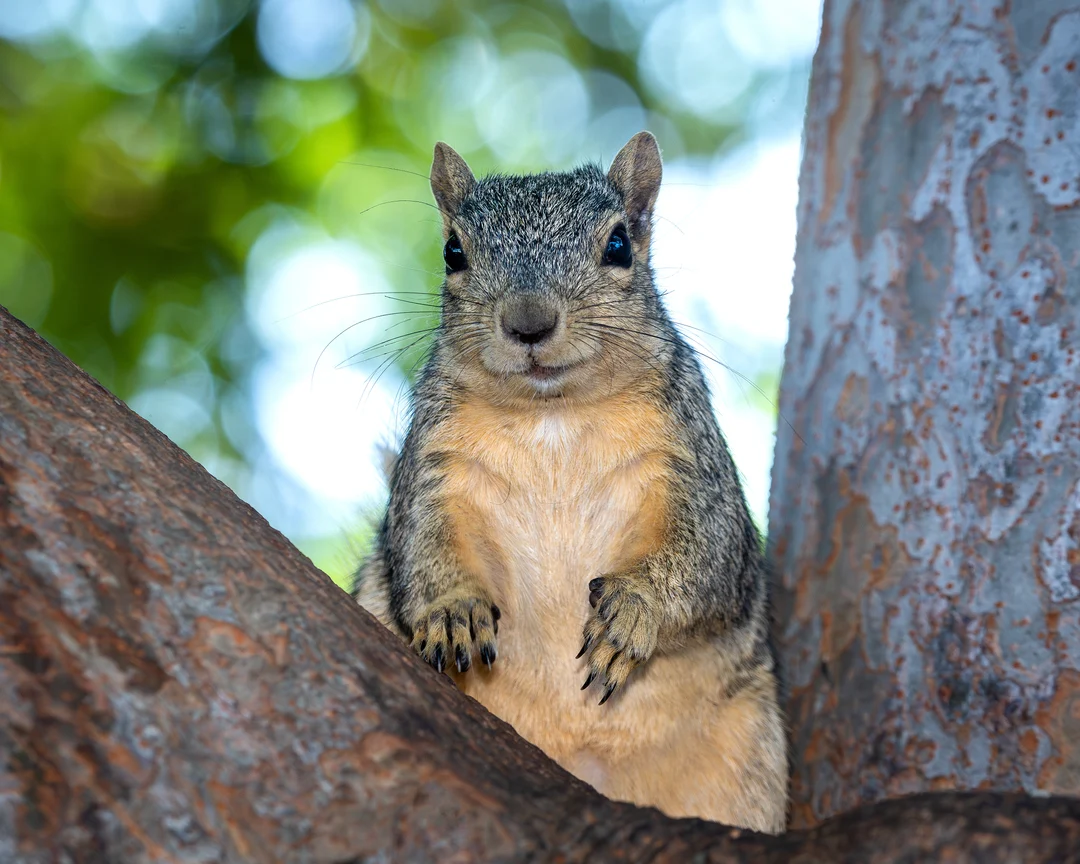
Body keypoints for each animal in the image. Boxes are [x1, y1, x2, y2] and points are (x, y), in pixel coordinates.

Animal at [353, 132, 788, 833]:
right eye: (453, 252)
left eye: (619, 246)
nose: (529, 323)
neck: (552, 416)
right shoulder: (433, 471)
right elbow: (420, 545)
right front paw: (451, 610)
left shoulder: (695, 469)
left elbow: (707, 558)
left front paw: (634, 609)